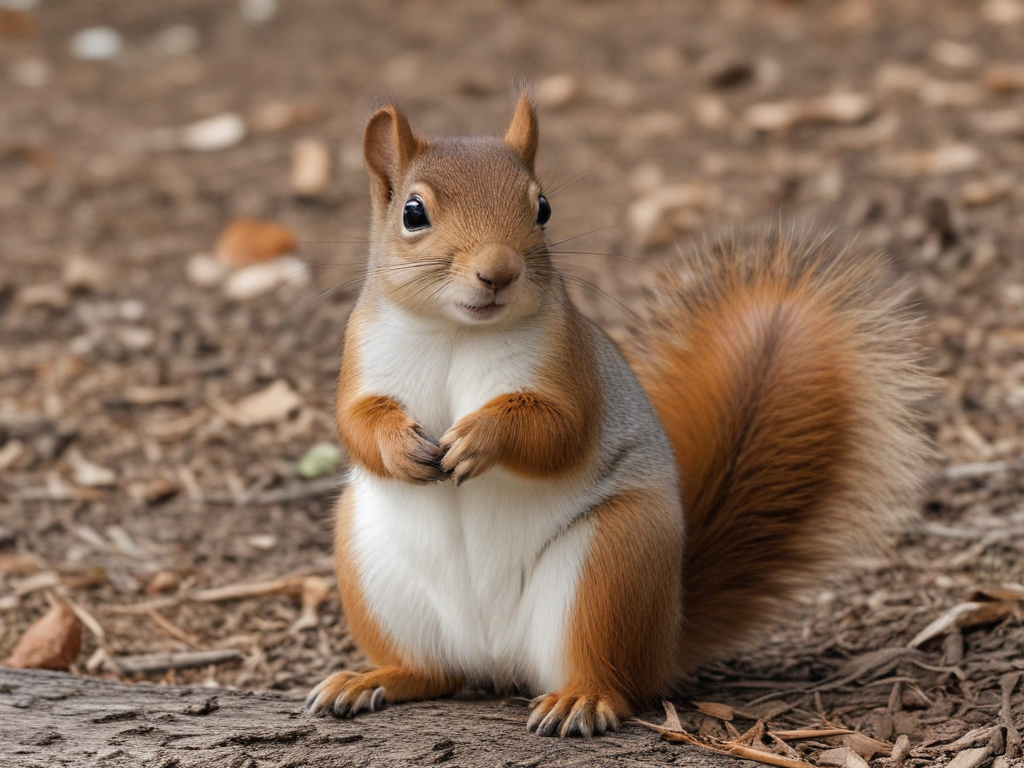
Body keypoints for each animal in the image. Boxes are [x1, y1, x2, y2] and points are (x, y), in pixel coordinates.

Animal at [304, 92, 931, 737]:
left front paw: (480, 436)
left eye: (543, 208)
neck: (458, 332)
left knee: (613, 677)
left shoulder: (569, 365)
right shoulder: (363, 355)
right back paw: (373, 679)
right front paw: (400, 445)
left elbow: (558, 430)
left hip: (610, 565)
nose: (499, 270)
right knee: (437, 674)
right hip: (375, 571)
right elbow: (354, 421)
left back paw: (582, 698)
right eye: (413, 213)